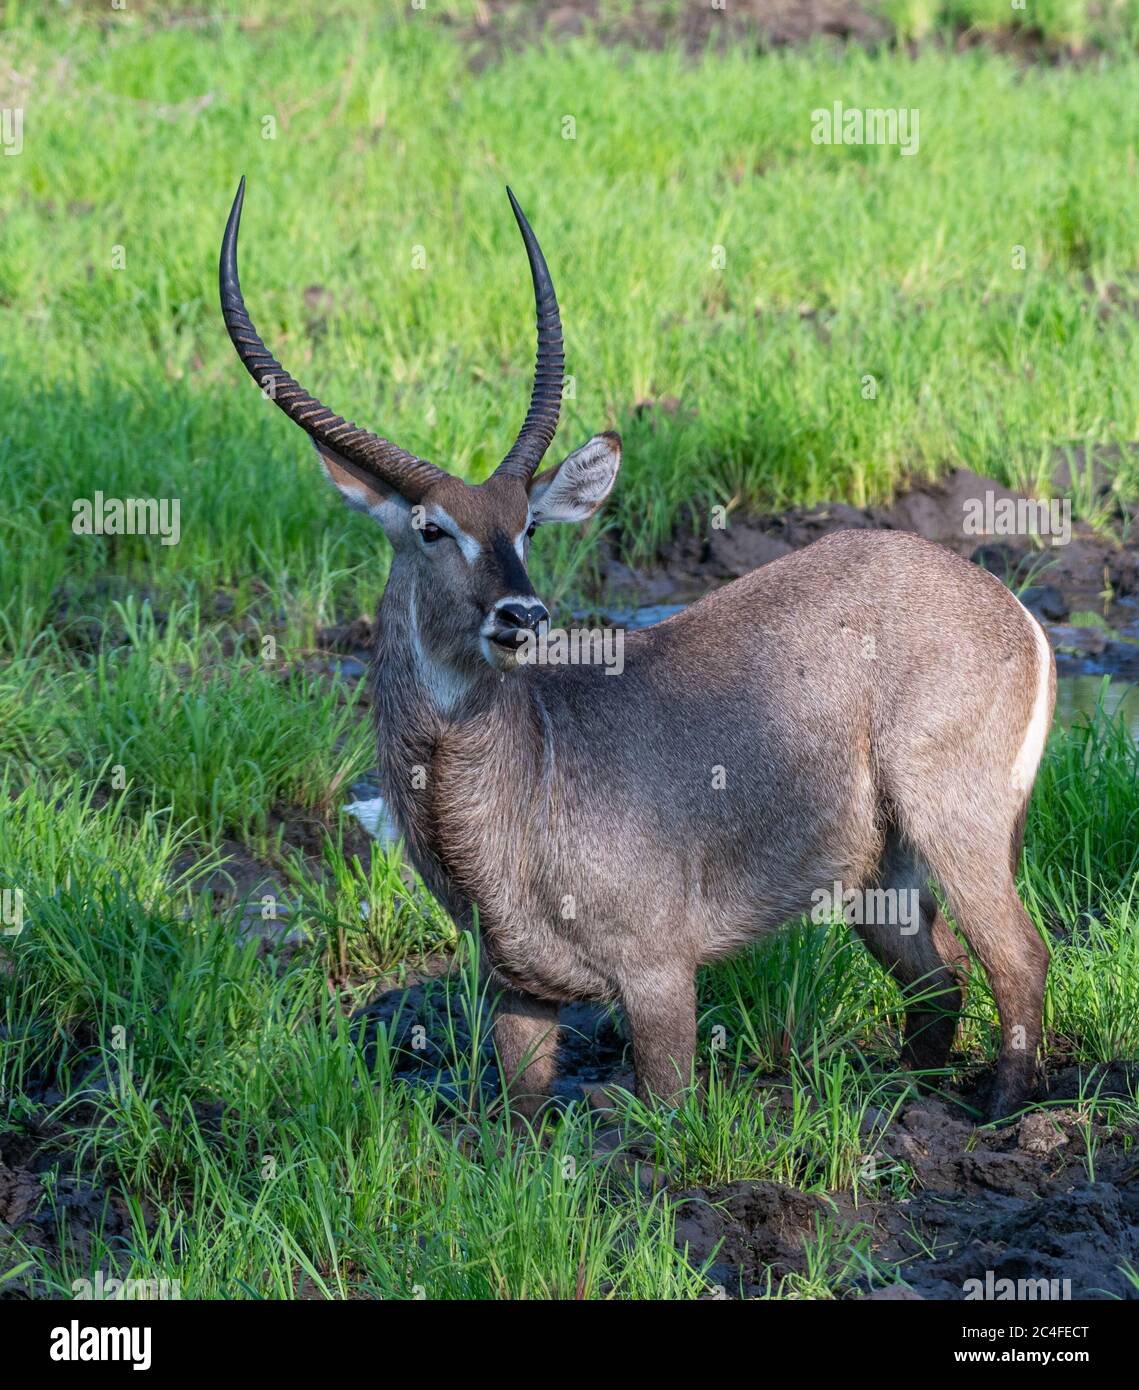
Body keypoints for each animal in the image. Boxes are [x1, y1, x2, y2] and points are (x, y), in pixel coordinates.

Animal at [219, 178, 1054, 1121]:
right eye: (432, 528)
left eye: (526, 525)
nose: (521, 614)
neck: (521, 775)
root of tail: (1008, 609)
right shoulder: (515, 991)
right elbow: (519, 1118)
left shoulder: (658, 975)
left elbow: (664, 1110)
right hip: (878, 875)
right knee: (938, 982)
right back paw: (909, 1096)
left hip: (956, 825)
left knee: (1017, 959)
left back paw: (995, 1112)